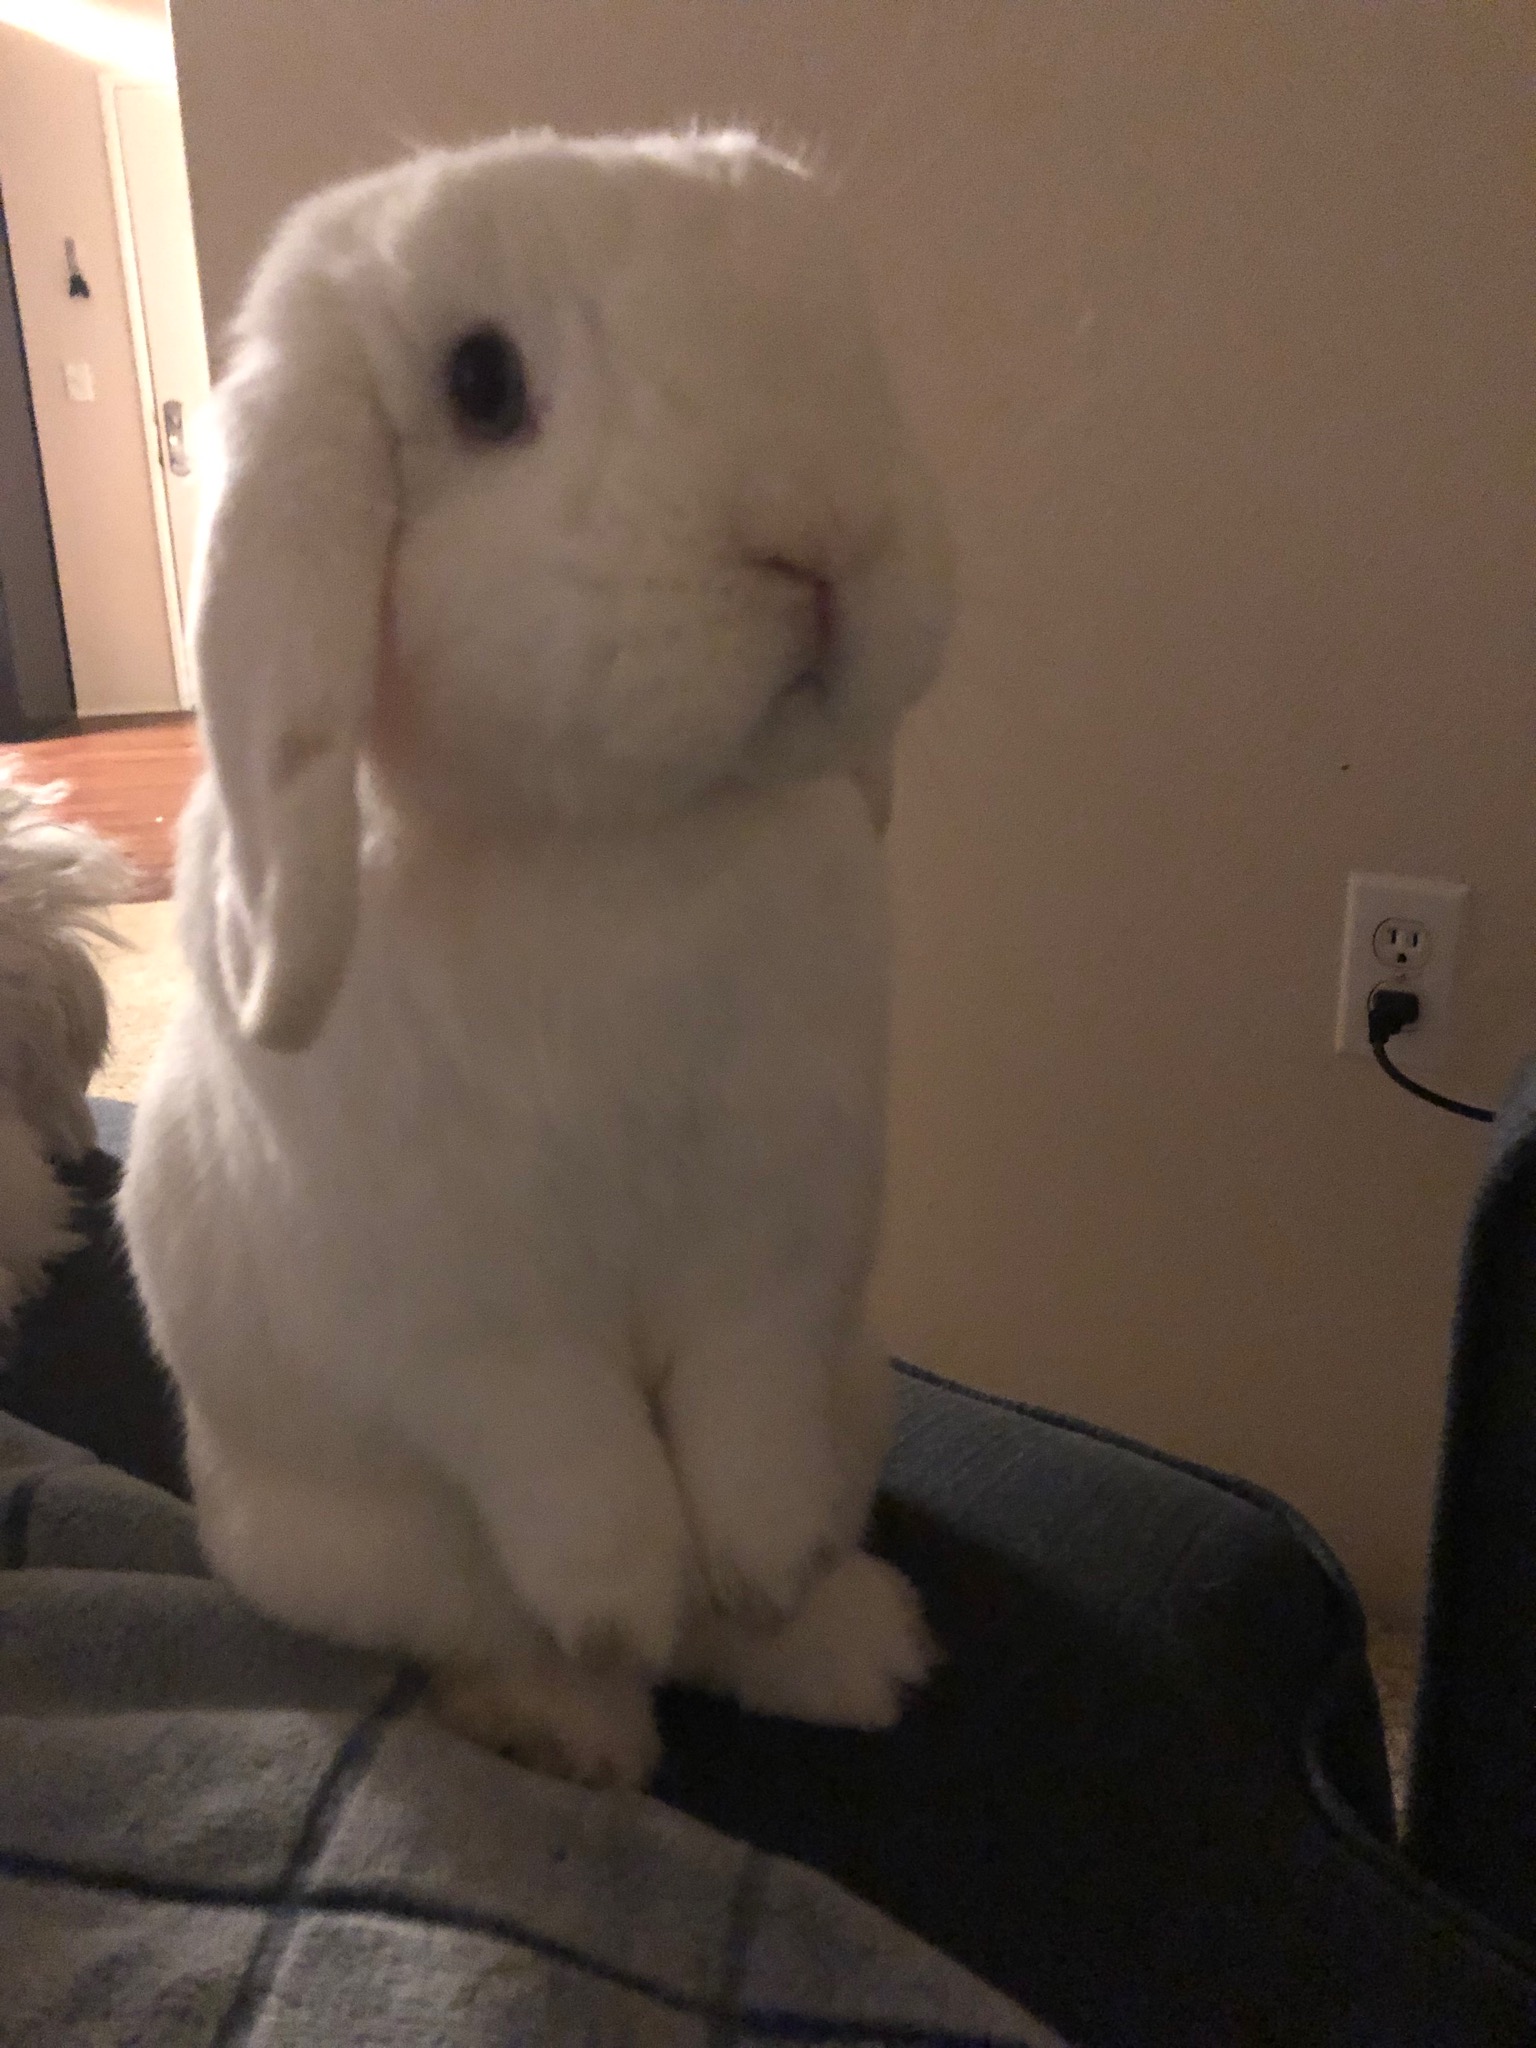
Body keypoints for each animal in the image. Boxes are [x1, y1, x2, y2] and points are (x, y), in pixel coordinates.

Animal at [119, 127, 954, 1788]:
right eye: (482, 382)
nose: (823, 535)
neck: (615, 851)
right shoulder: (457, 1313)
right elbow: (568, 1458)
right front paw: (624, 1600)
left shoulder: (787, 1243)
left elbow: (746, 1426)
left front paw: (760, 1570)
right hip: (372, 1550)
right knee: (529, 1631)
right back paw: (570, 1730)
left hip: (865, 1396)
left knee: (752, 1607)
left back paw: (851, 1650)